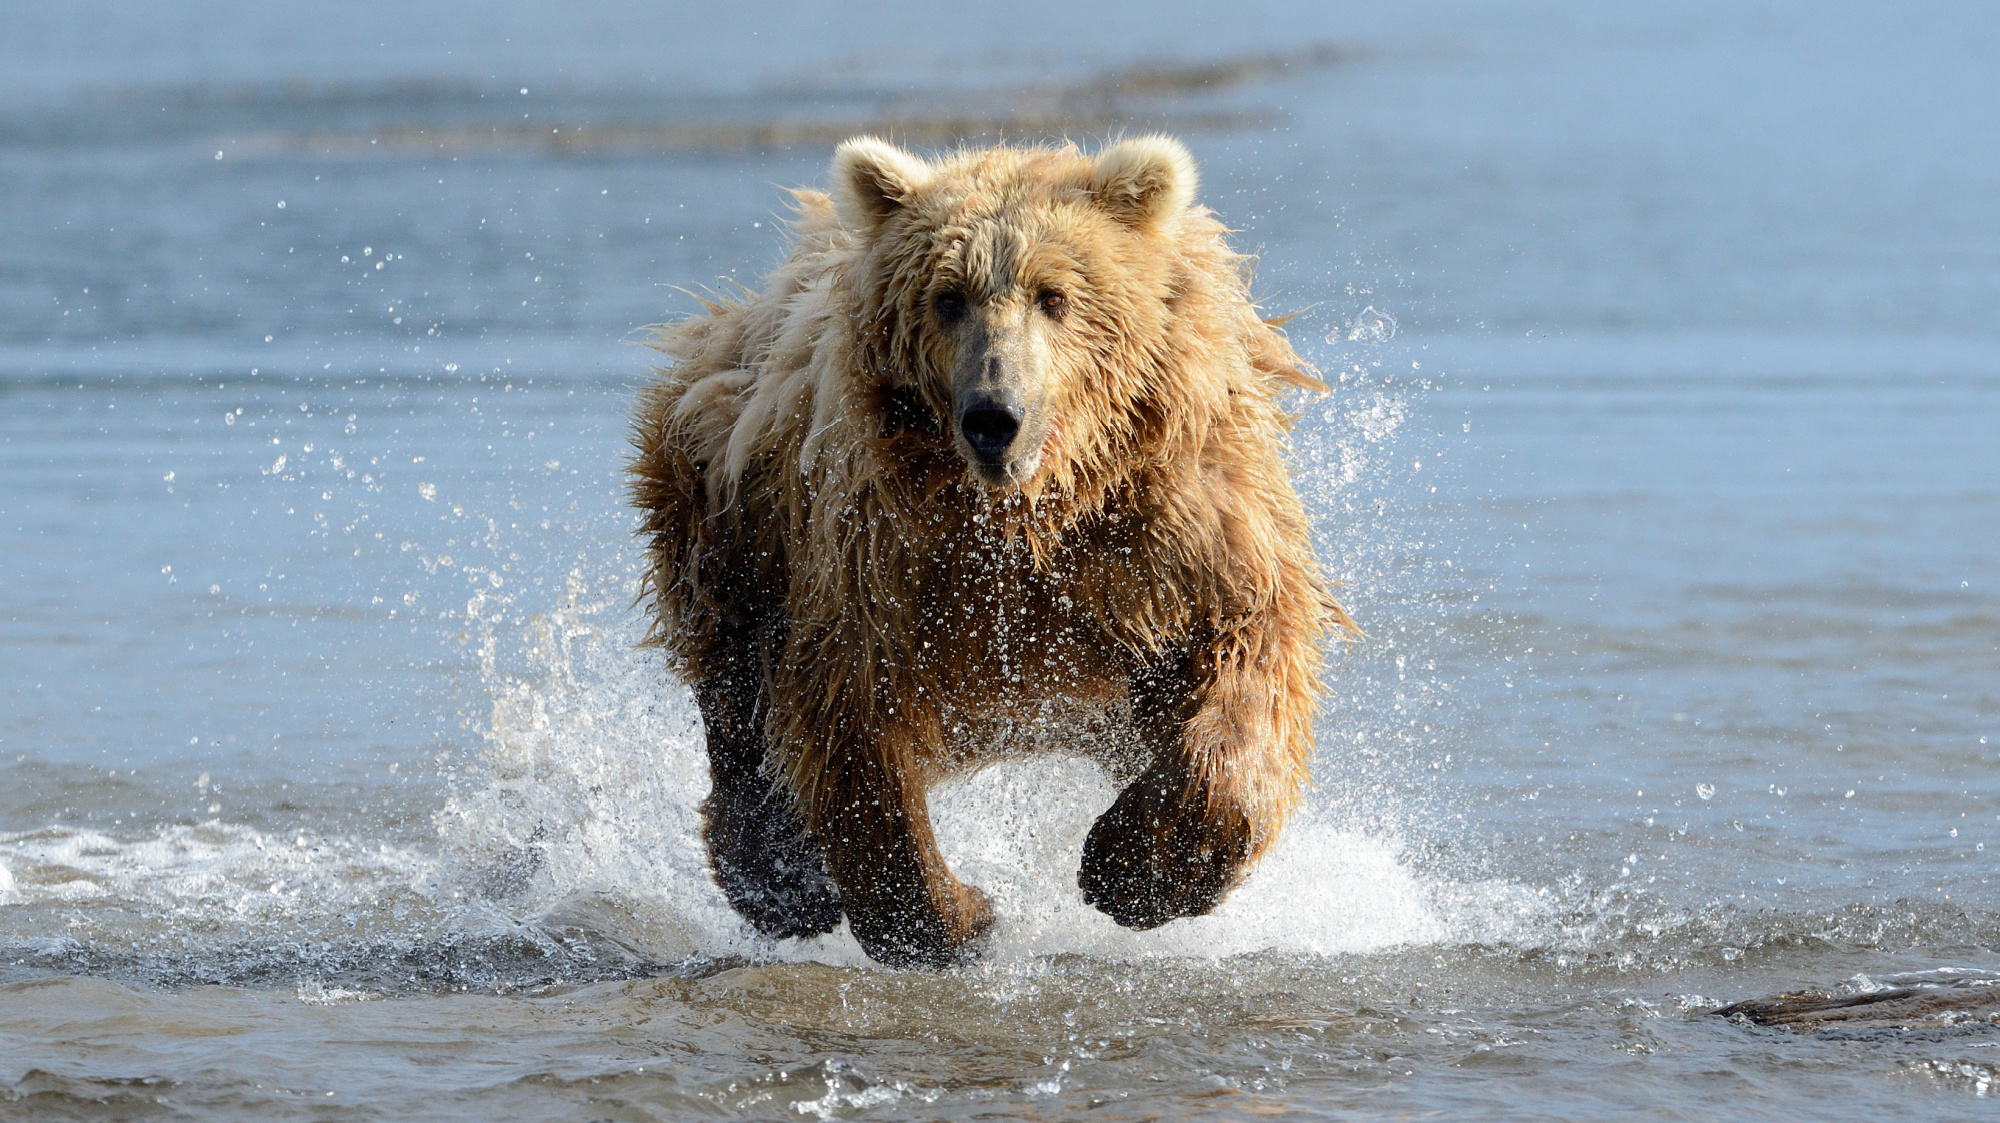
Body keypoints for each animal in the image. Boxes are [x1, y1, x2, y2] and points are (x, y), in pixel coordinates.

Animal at [630, 136, 1348, 968]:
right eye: (948, 297)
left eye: (1053, 295)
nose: (993, 415)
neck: (1029, 510)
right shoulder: (889, 560)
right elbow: (855, 720)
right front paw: (959, 914)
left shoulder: (1174, 528)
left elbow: (1250, 650)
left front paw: (1138, 867)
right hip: (730, 514)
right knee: (740, 693)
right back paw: (783, 878)